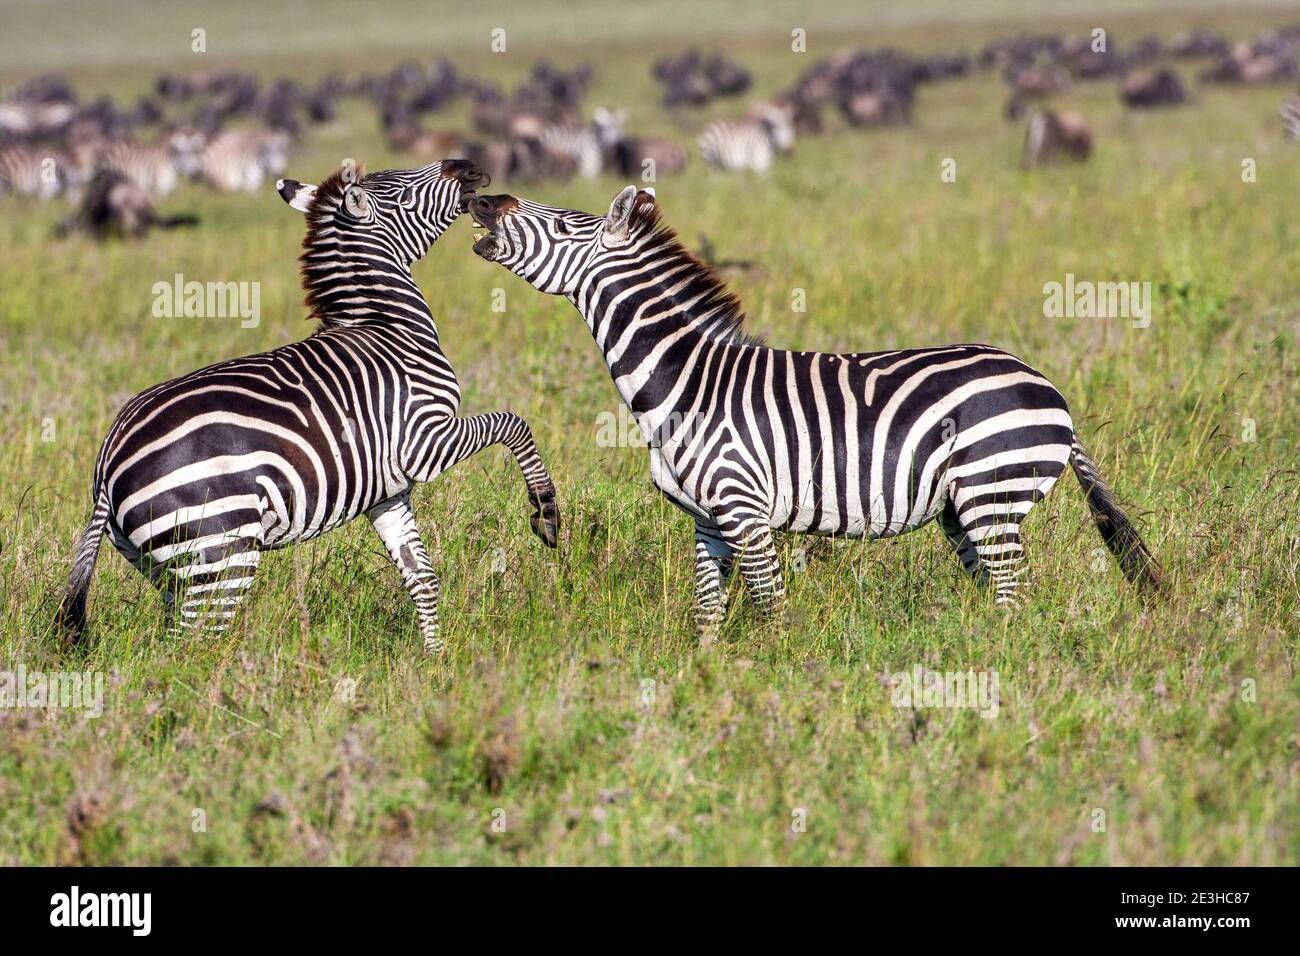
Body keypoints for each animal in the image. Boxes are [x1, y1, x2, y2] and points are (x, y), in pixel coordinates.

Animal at [57, 160, 560, 653]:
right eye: (399, 189)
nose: (471, 167)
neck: (387, 326)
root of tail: (108, 462)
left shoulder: (390, 488)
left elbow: (421, 577)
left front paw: (435, 662)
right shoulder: (424, 442)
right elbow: (513, 423)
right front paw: (546, 511)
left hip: (171, 570)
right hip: (221, 552)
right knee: (189, 651)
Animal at [467, 185, 1163, 641]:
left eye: (562, 226)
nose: (487, 199)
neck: (682, 379)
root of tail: (1049, 387)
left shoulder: (745, 510)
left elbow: (772, 610)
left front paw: (775, 691)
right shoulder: (708, 519)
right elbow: (707, 616)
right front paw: (706, 683)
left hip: (994, 493)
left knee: (1015, 594)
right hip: (963, 510)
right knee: (999, 594)